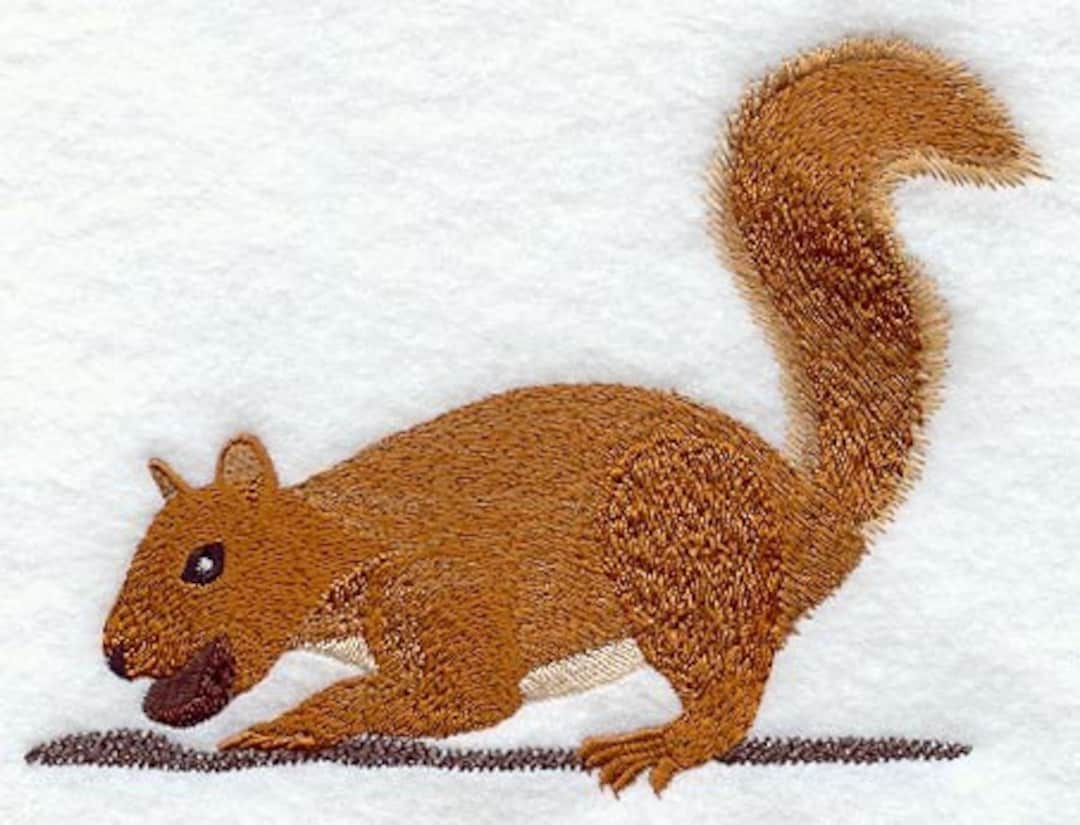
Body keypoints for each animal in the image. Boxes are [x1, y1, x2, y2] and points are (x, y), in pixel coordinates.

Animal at [102, 38, 1036, 793]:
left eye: (206, 562)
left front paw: (296, 720)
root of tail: (811, 513)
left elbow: (463, 697)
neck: (344, 542)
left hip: (677, 544)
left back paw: (666, 741)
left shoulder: (436, 597)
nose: (111, 653)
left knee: (729, 690)